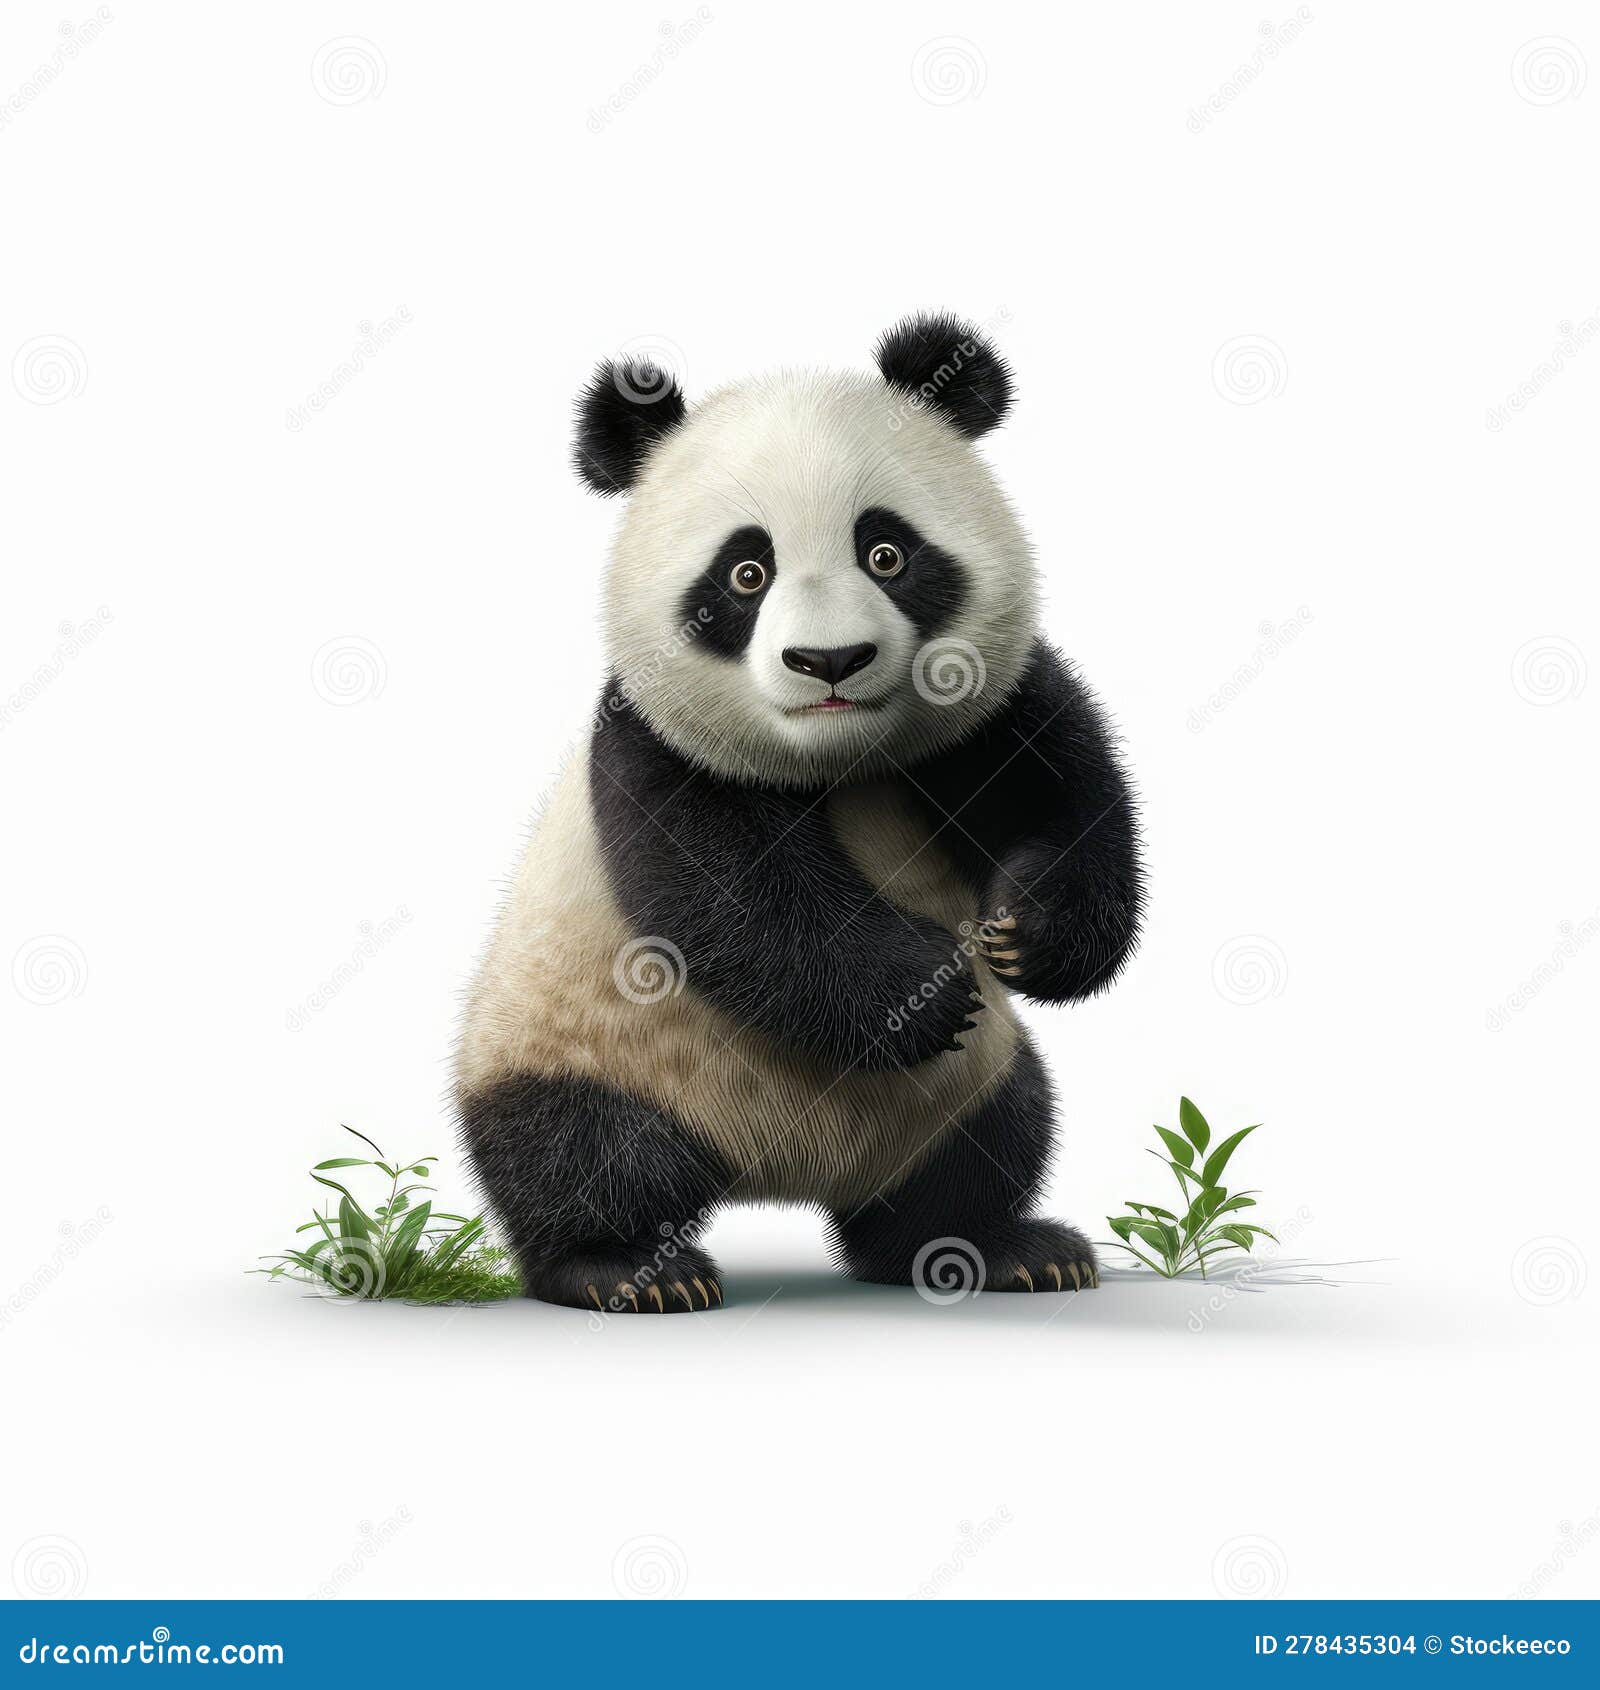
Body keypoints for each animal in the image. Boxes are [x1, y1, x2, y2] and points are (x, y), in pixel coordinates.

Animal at [456, 313, 1143, 1313]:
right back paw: (626, 1269)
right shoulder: (654, 748)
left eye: (886, 554)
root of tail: (780, 1173)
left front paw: (1028, 937)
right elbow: (740, 903)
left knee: (995, 1138)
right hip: (571, 1047)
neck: (841, 761)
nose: (830, 661)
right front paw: (924, 993)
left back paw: (995, 1249)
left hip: (961, 1093)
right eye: (747, 572)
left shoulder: (989, 709)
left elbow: (1068, 799)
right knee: (578, 1153)